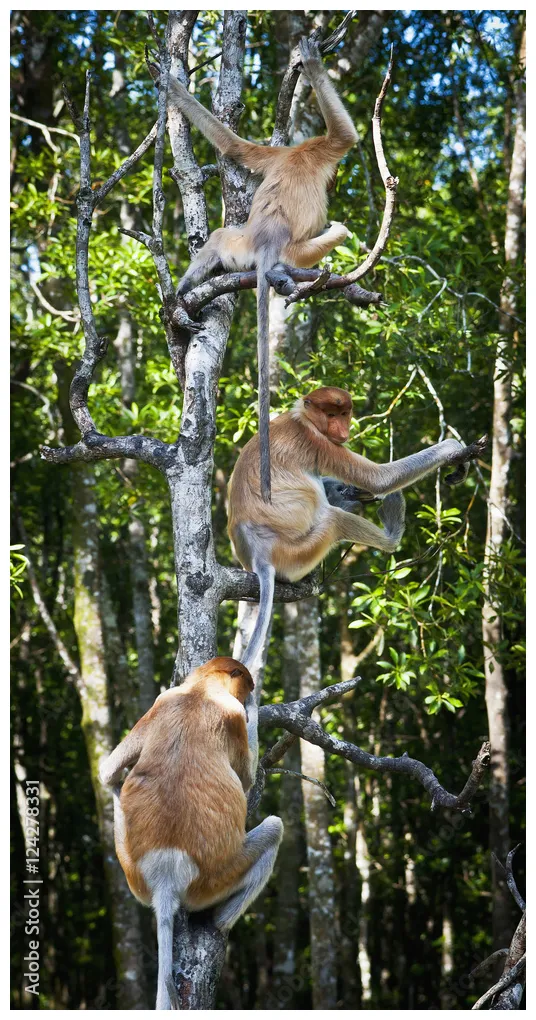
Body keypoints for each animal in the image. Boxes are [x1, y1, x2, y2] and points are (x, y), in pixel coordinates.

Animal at [99, 656, 283, 1011]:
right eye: (246, 685)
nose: (249, 692)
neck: (200, 691)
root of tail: (167, 875)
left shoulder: (162, 701)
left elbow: (108, 771)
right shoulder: (231, 715)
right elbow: (247, 778)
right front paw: (253, 706)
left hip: (132, 872)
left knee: (115, 784)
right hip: (215, 879)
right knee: (275, 827)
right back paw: (221, 921)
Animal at [161, 37, 358, 503]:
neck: (300, 152)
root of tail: (269, 242)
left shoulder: (274, 154)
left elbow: (233, 145)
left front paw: (168, 83)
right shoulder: (320, 147)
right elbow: (345, 135)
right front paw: (311, 60)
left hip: (242, 246)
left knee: (218, 236)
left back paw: (184, 293)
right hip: (300, 250)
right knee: (335, 233)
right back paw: (289, 274)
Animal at [228, 386, 487, 670]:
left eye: (344, 413)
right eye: (330, 414)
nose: (341, 430)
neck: (303, 419)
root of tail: (258, 554)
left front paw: (348, 490)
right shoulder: (319, 442)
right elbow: (379, 479)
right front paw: (454, 449)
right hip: (296, 553)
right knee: (334, 519)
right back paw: (390, 531)